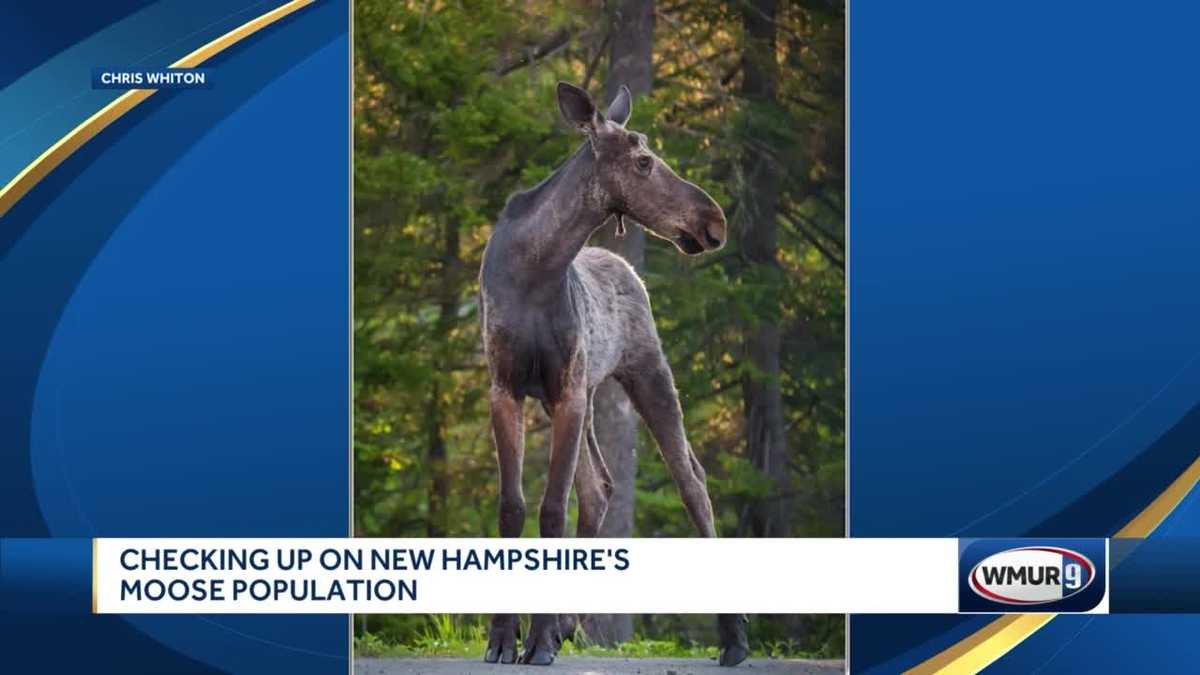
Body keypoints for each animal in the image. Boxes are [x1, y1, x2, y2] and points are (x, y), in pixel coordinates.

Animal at [478, 82, 748, 667]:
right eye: (643, 161)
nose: (714, 222)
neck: (535, 272)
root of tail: (627, 269)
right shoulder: (509, 389)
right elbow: (513, 507)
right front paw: (503, 638)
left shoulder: (566, 390)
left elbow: (551, 510)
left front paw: (535, 642)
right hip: (586, 392)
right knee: (600, 486)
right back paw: (565, 623)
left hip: (646, 372)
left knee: (691, 480)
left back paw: (735, 639)